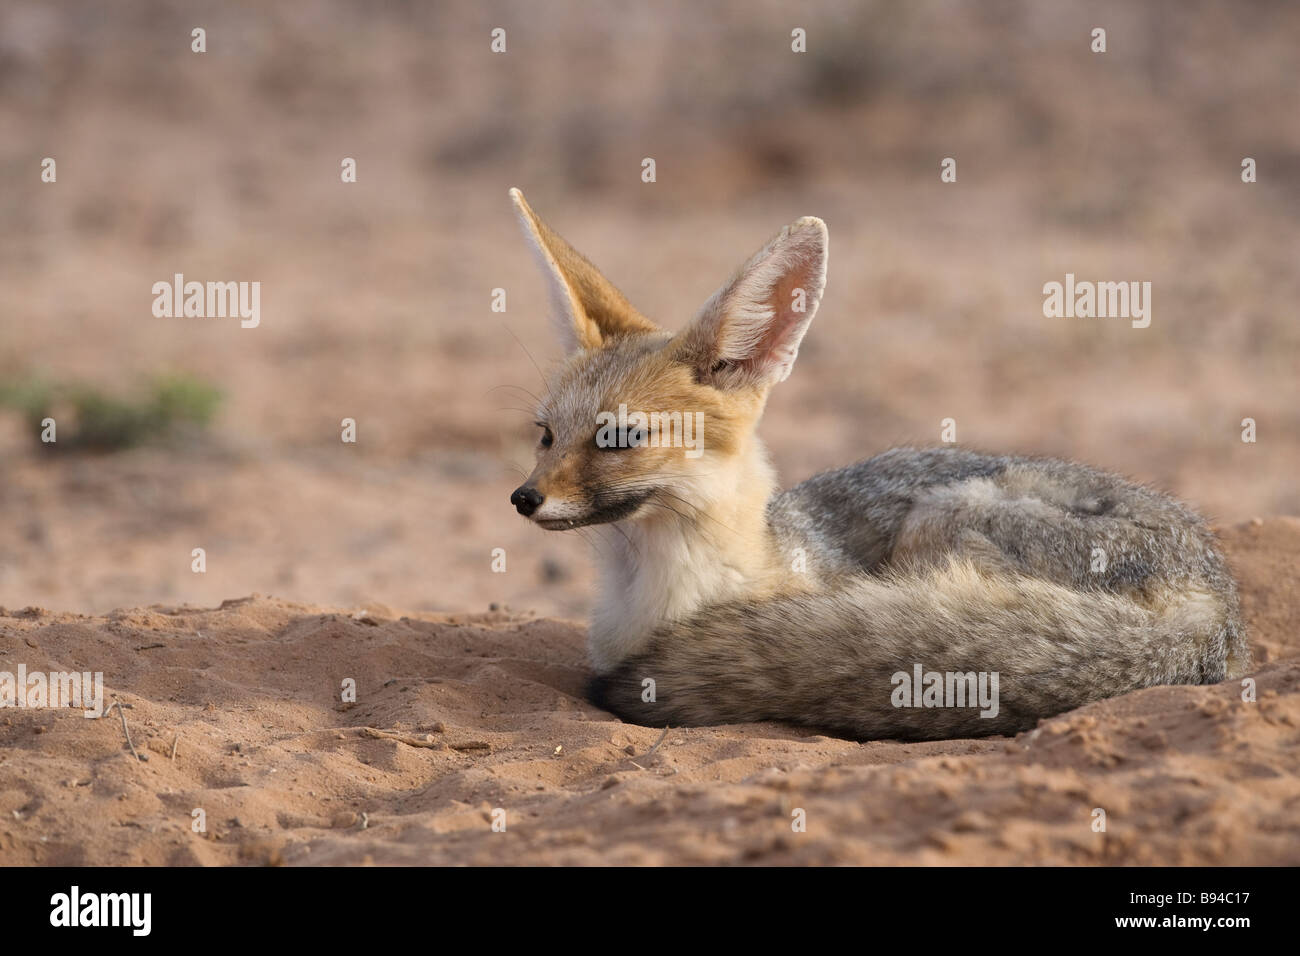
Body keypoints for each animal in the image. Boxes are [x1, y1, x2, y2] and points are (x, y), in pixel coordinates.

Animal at [505, 187, 1250, 741]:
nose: (523, 499)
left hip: (945, 515)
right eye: (545, 435)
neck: (657, 596)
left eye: (620, 436)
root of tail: (1217, 604)